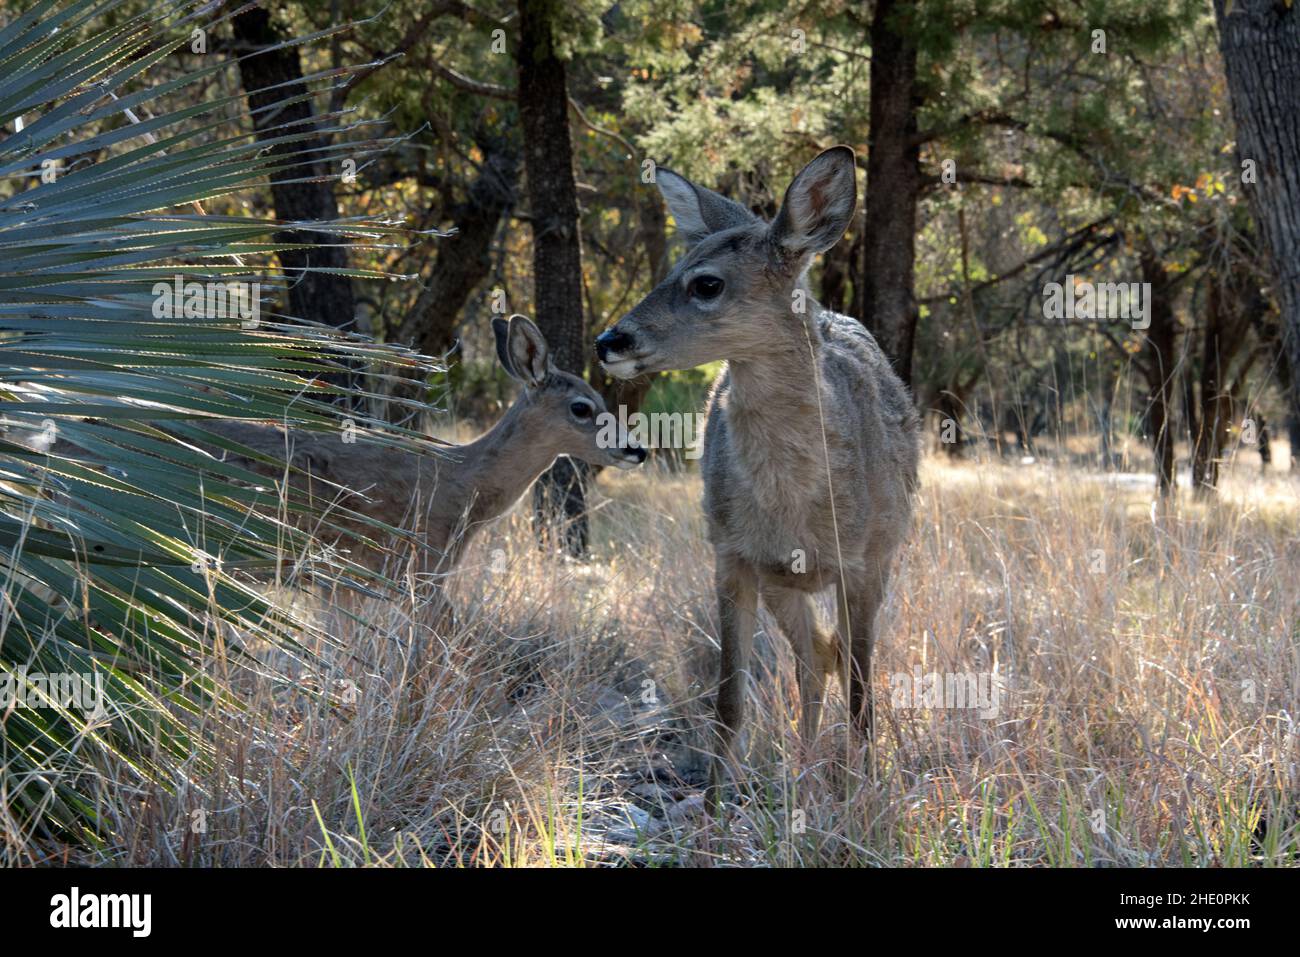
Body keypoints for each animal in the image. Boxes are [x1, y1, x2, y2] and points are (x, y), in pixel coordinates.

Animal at [595, 147, 920, 807]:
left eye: (706, 283)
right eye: (672, 267)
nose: (608, 340)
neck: (795, 499)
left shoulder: (864, 561)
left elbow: (862, 692)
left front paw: (862, 796)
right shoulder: (732, 556)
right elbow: (728, 699)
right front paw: (715, 805)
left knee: (833, 657)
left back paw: (823, 774)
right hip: (781, 582)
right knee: (813, 655)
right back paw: (802, 769)